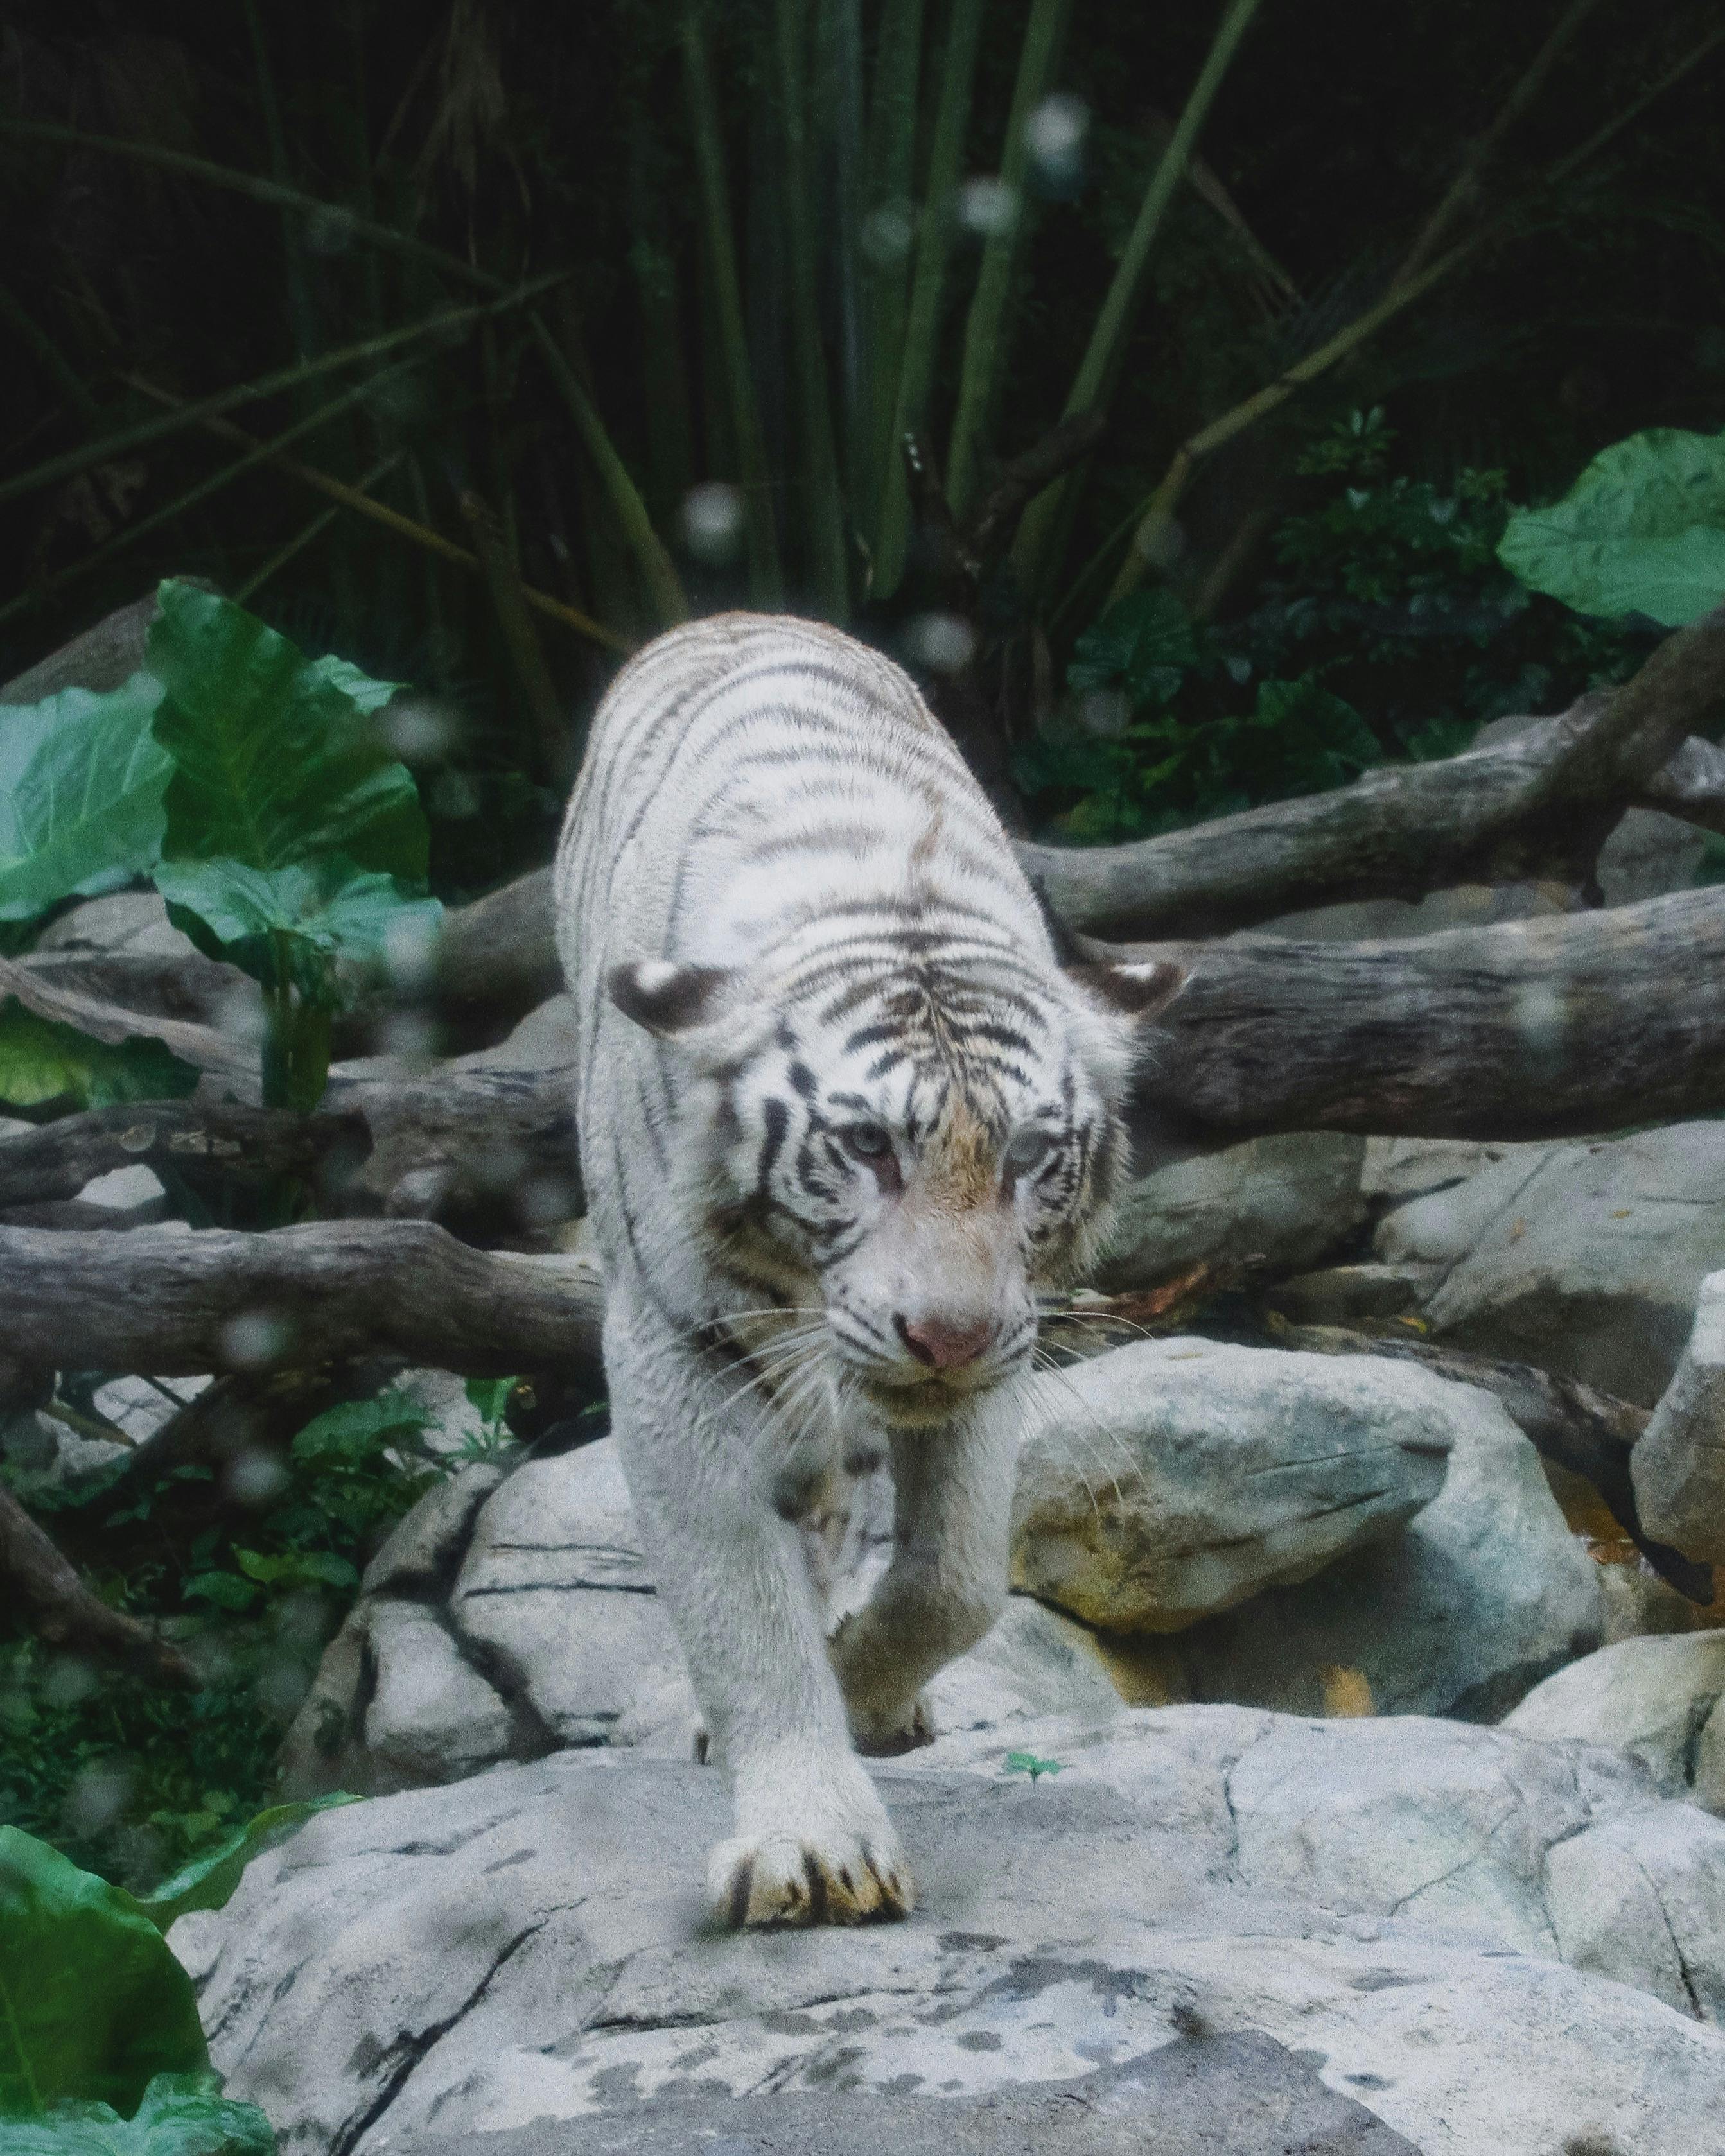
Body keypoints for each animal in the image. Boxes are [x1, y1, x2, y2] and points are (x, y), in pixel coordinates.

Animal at [554, 612, 1177, 1928]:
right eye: (866, 1145)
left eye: (1028, 1154)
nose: (942, 1335)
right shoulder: (676, 1346)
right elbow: (739, 1605)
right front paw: (808, 1842)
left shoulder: (1005, 1348)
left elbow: (955, 1580)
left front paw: (866, 1693)